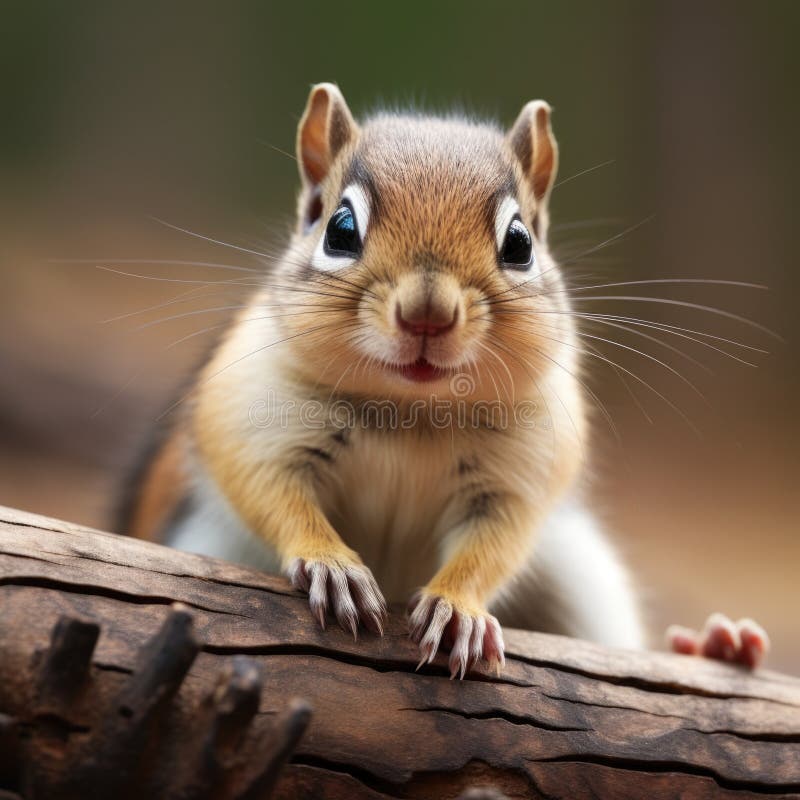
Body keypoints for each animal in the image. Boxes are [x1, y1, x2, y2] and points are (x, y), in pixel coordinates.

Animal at [119, 84, 769, 677]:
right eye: (339, 229)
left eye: (520, 243)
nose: (426, 313)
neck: (413, 413)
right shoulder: (252, 416)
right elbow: (275, 495)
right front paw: (332, 565)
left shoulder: (520, 474)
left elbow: (495, 545)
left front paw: (458, 607)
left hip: (579, 579)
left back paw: (719, 644)